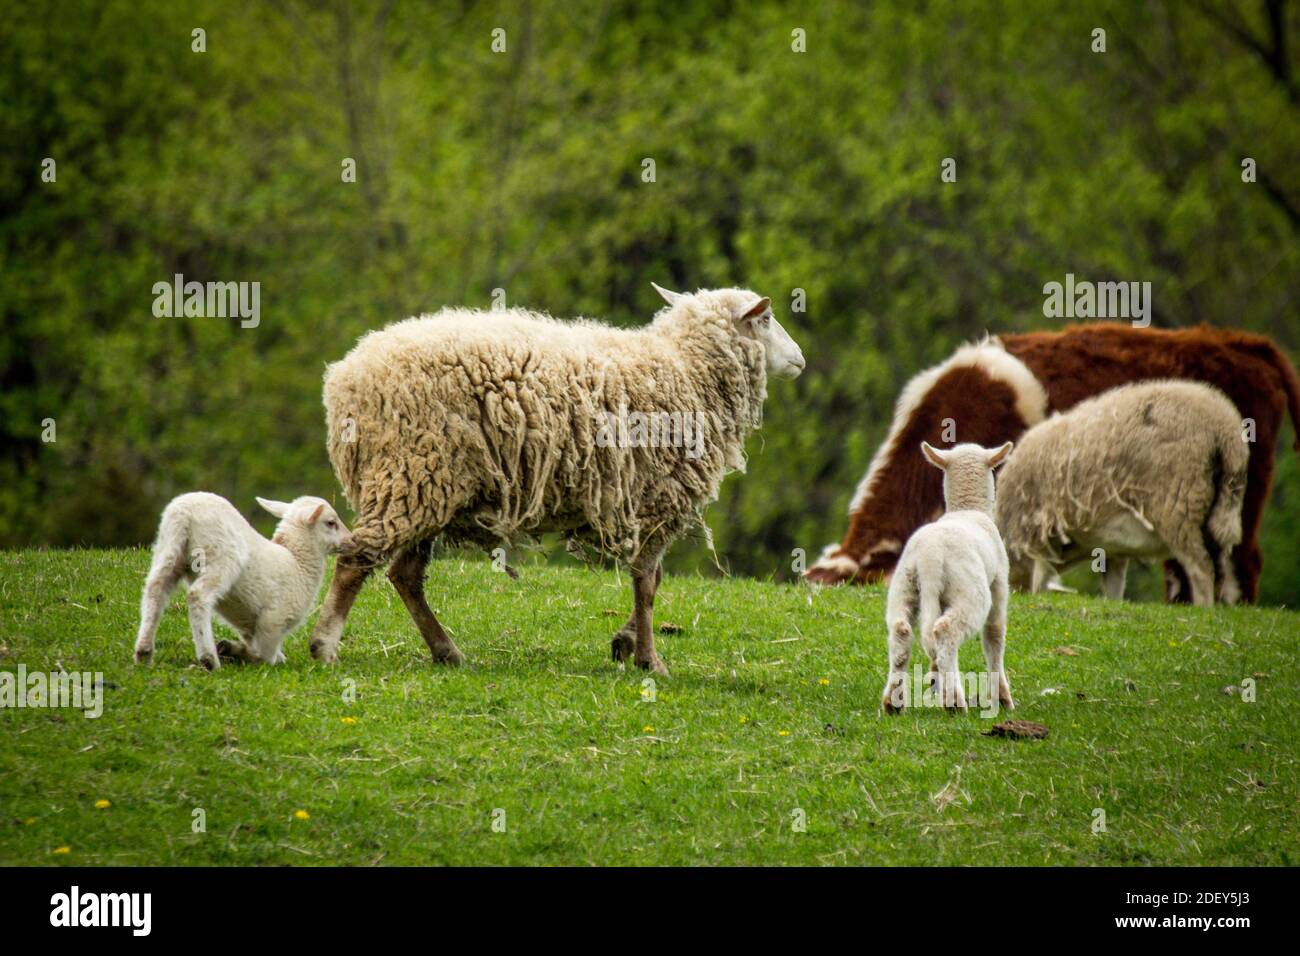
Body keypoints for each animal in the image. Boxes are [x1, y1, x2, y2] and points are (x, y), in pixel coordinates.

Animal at [133, 493, 353, 669]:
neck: (297, 563)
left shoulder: (249, 625)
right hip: (221, 557)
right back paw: (209, 658)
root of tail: (184, 512)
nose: (351, 539)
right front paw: (235, 651)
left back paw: (144, 651)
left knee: (155, 589)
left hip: (169, 548)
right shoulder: (272, 620)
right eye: (331, 522)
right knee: (198, 594)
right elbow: (264, 656)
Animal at [307, 283, 805, 676]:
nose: (800, 359)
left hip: (425, 485)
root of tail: (344, 382)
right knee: (357, 560)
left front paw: (624, 643)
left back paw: (446, 650)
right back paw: (325, 645)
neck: (686, 368)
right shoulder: (659, 499)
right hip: (411, 472)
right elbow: (647, 582)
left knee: (404, 575)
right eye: (767, 319)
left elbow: (653, 580)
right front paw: (649, 659)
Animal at [882, 441, 1015, 714]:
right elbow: (994, 637)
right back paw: (954, 702)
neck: (968, 508)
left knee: (901, 630)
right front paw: (1003, 698)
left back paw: (893, 702)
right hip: (969, 591)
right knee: (945, 631)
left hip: (903, 584)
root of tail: (930, 558)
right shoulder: (999, 583)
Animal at [994, 380, 1249, 606]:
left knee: (1201, 567)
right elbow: (1113, 588)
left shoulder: (1036, 538)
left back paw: (1203, 609)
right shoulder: (1112, 549)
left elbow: (1039, 580)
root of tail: (1224, 432)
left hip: (1178, 504)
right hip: (1217, 509)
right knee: (1218, 567)